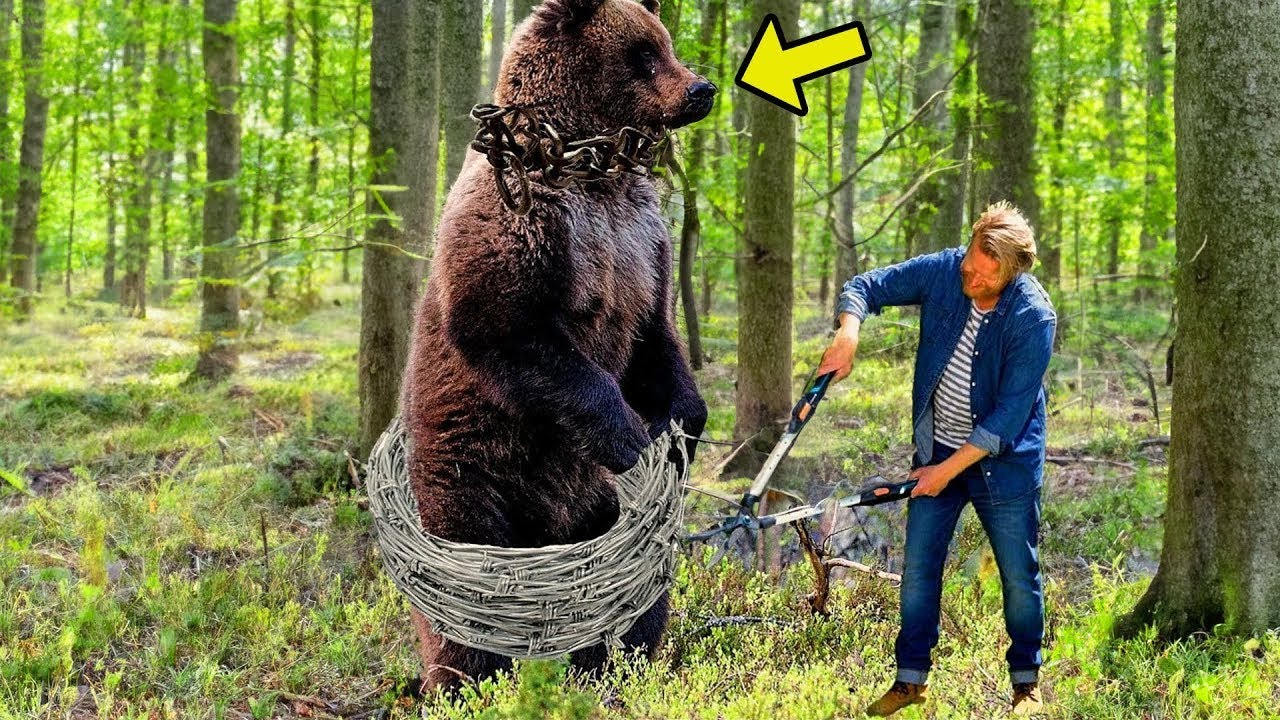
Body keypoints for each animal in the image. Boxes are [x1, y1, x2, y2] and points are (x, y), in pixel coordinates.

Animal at [397, 0, 715, 695]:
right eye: (644, 54)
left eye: (666, 45)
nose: (701, 88)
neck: (592, 174)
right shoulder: (524, 223)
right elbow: (510, 326)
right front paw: (627, 433)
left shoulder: (643, 246)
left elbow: (657, 337)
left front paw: (684, 424)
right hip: (475, 471)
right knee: (465, 592)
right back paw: (464, 685)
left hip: (600, 509)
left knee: (633, 592)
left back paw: (615, 667)